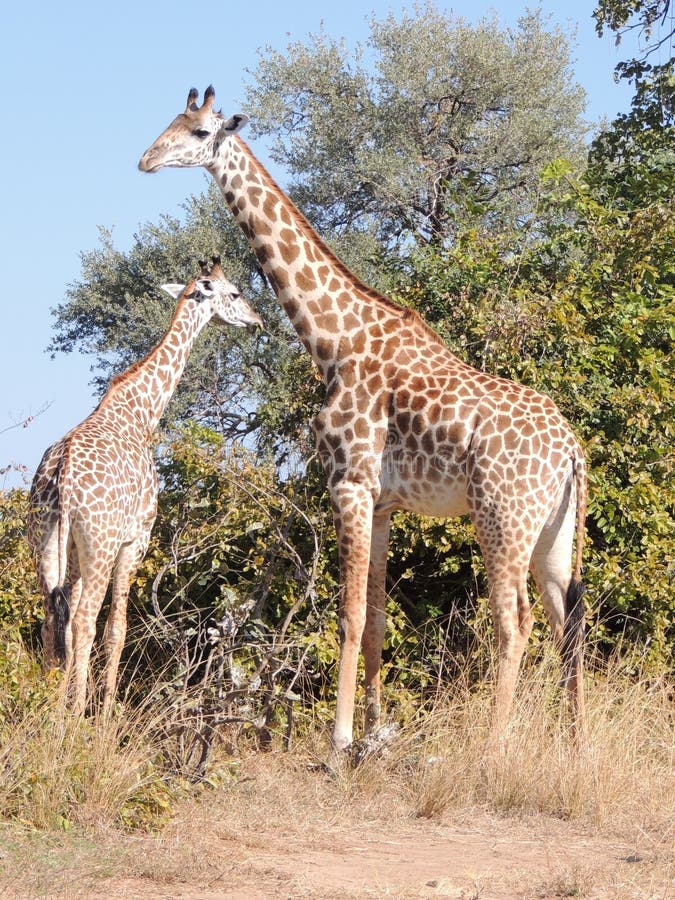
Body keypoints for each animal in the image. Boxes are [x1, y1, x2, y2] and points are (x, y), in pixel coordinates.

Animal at [28, 258, 262, 713]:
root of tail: (61, 477)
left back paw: (49, 712)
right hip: (100, 545)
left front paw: (68, 702)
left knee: (53, 619)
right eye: (236, 293)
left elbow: (71, 626)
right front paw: (103, 715)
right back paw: (75, 717)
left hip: (46, 542)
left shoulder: (77, 553)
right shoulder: (135, 539)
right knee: (83, 622)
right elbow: (117, 629)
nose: (257, 321)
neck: (142, 412)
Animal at [139, 86, 588, 752]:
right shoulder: (381, 501)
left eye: (197, 132)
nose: (145, 160)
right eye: (170, 120)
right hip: (553, 533)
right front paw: (376, 732)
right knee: (569, 618)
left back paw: (492, 745)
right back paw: (574, 743)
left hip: (503, 517)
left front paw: (340, 740)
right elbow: (374, 619)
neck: (333, 338)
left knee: (516, 623)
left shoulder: (348, 481)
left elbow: (347, 614)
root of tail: (572, 451)